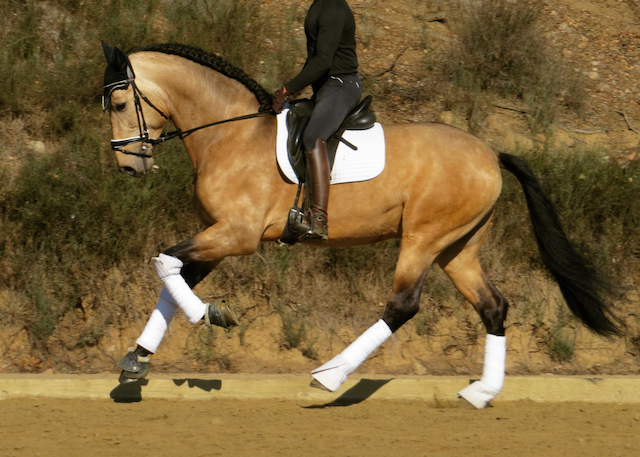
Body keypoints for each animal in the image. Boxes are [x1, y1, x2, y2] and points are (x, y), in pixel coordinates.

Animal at [102, 42, 620, 408]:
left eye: (121, 103)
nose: (128, 166)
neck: (229, 131)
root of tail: (491, 153)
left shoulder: (237, 235)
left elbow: (164, 264)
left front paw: (212, 315)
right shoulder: (216, 234)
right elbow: (172, 278)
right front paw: (136, 360)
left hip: (423, 239)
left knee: (403, 305)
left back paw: (331, 375)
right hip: (459, 249)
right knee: (493, 306)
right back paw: (480, 393)